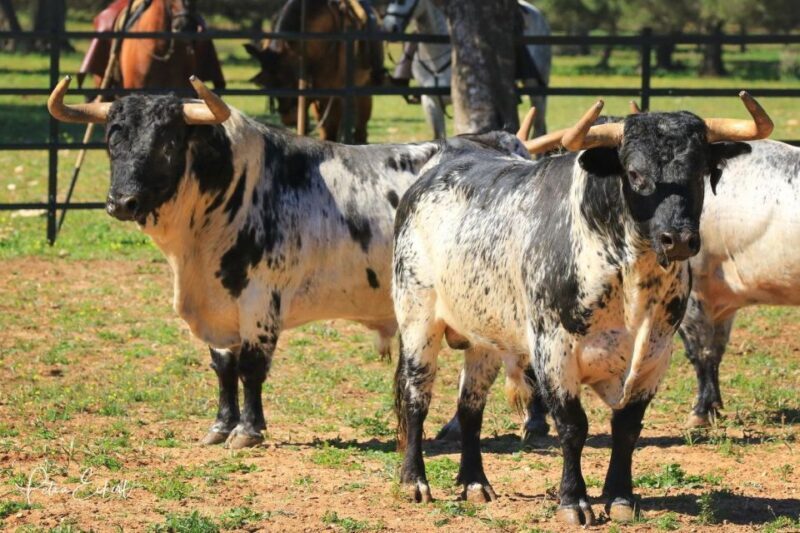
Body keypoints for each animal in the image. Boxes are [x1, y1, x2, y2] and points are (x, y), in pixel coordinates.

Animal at [47, 75, 534, 449]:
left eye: (167, 140)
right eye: (112, 137)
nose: (121, 202)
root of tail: (504, 141)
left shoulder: (260, 301)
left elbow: (251, 368)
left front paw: (247, 431)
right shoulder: (219, 305)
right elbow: (223, 367)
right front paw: (220, 427)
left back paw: (531, 425)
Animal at [392, 94, 771, 524]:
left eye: (699, 171)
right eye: (635, 173)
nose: (678, 240)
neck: (631, 278)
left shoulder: (655, 355)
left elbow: (627, 427)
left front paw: (621, 497)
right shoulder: (554, 352)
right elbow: (574, 427)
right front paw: (574, 501)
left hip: (485, 337)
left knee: (470, 407)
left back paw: (475, 483)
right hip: (418, 321)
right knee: (416, 397)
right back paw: (414, 481)